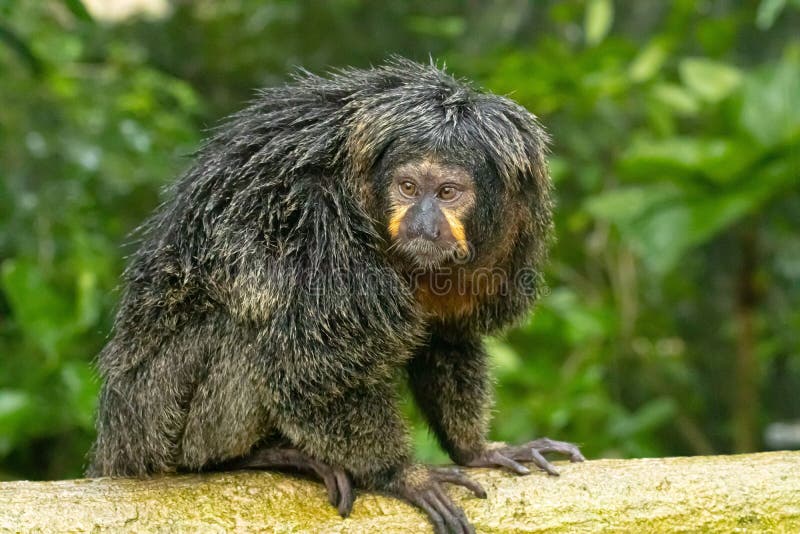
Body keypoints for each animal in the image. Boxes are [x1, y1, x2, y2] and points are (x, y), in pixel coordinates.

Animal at [87, 57, 585, 533]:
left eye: (447, 192)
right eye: (408, 188)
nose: (422, 223)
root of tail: (118, 434)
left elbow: (446, 337)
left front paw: (476, 449)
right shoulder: (318, 224)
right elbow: (308, 371)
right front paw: (402, 475)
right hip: (159, 414)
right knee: (247, 331)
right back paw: (246, 457)